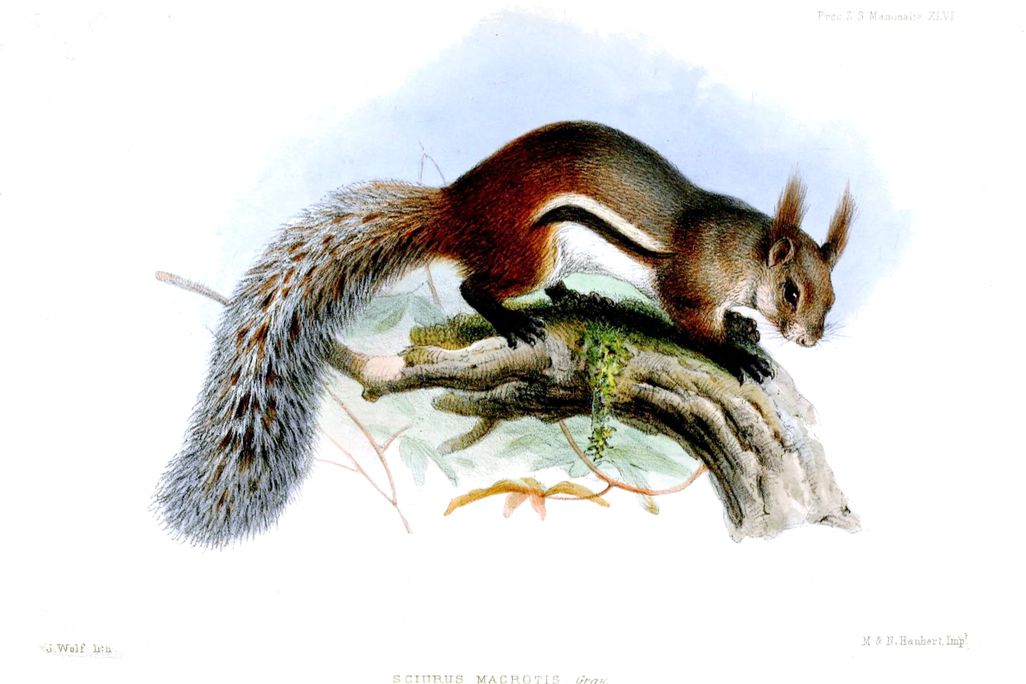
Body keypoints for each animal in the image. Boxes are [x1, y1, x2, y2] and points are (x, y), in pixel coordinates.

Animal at [156, 121, 854, 546]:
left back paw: (576, 297)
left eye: (830, 295)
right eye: (792, 292)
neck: (740, 252)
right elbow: (692, 324)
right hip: (530, 250)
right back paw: (513, 317)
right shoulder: (687, 283)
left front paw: (743, 325)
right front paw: (738, 352)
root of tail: (457, 211)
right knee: (476, 286)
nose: (809, 340)